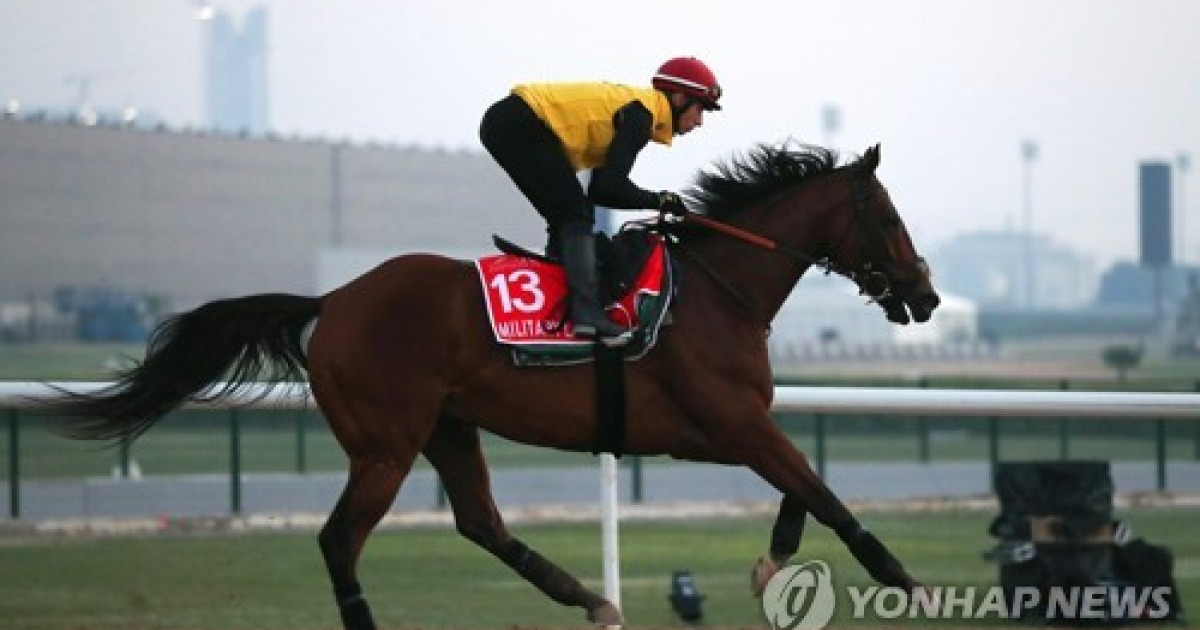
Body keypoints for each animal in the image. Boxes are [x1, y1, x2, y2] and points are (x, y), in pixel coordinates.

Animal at [38, 142, 940, 629]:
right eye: (892, 219)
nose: (927, 296)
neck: (719, 288)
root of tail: (334, 300)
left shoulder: (730, 430)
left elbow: (804, 493)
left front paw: (770, 567)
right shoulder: (730, 425)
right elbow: (830, 499)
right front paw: (915, 588)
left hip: (448, 426)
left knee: (480, 522)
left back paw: (591, 598)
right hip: (386, 444)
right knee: (340, 540)